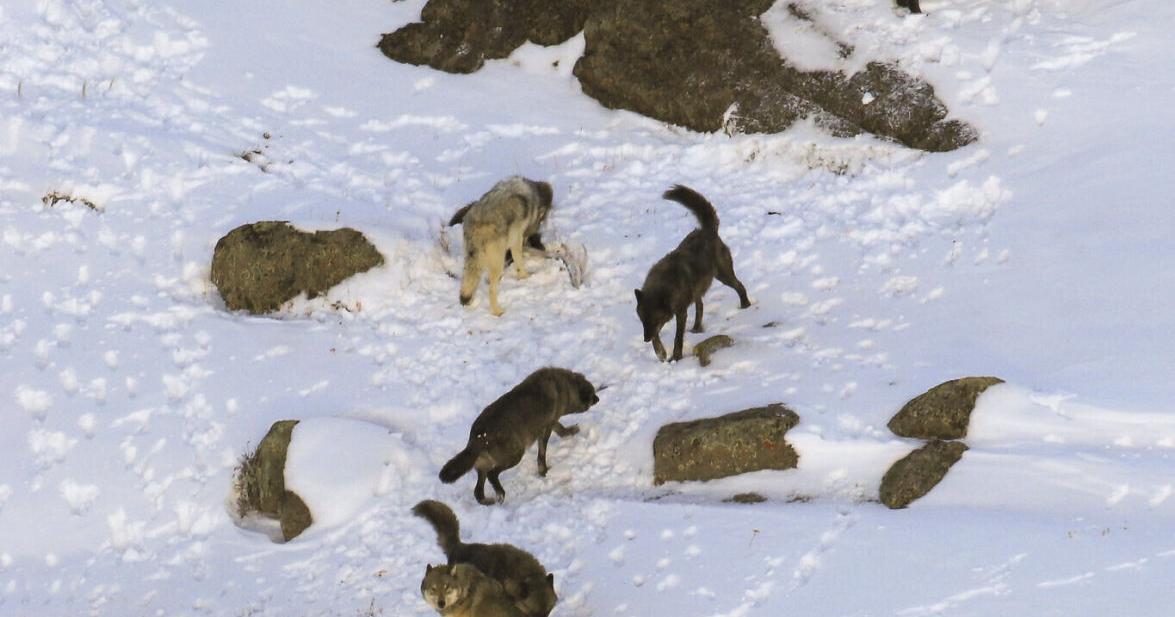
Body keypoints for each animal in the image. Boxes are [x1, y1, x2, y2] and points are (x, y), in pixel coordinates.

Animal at [439, 367, 599, 505]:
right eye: (592, 393)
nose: (598, 399)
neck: (563, 386)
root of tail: (478, 436)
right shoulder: (546, 428)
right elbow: (542, 454)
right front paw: (544, 472)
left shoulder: (551, 422)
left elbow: (560, 429)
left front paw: (571, 432)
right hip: (514, 456)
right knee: (492, 475)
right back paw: (500, 494)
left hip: (484, 465)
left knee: (478, 493)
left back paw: (491, 501)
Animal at [452, 176, 554, 316]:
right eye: (542, 219)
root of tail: (479, 225)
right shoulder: (516, 238)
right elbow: (519, 261)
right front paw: (525, 276)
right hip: (497, 262)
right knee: (491, 288)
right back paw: (497, 311)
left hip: (471, 257)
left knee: (466, 283)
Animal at [634, 185, 751, 362]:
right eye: (642, 320)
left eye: (655, 320)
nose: (645, 339)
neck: (665, 283)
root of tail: (707, 230)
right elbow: (658, 337)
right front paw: (660, 352)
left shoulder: (681, 313)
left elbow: (678, 338)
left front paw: (676, 357)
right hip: (699, 287)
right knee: (701, 305)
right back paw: (696, 329)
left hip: (724, 276)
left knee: (740, 286)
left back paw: (745, 305)